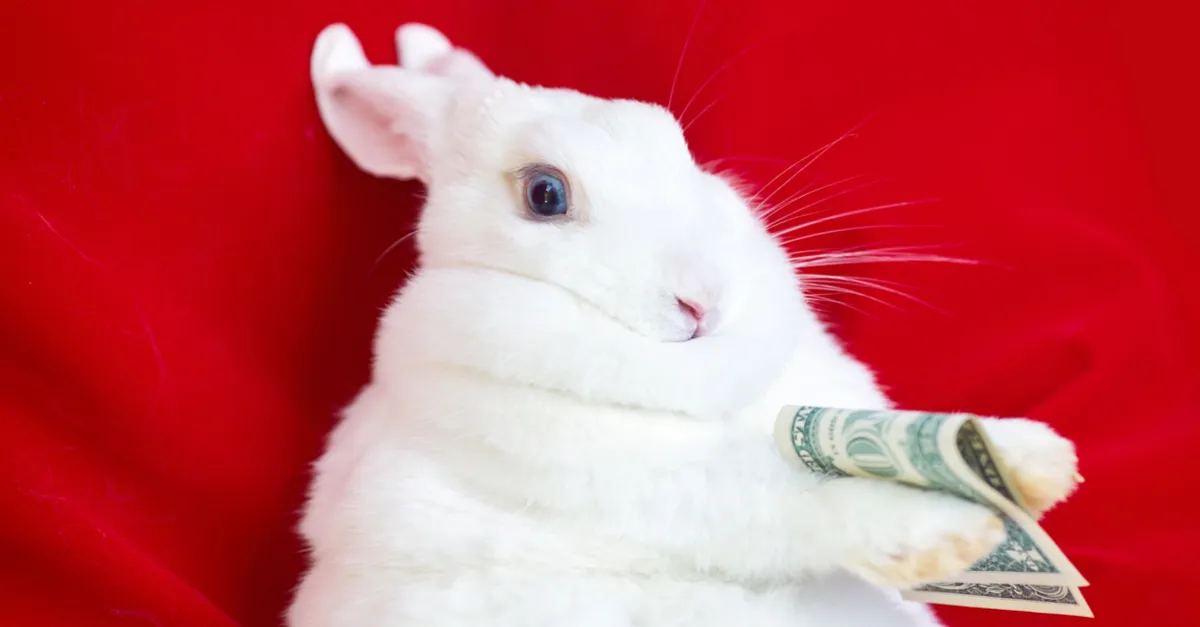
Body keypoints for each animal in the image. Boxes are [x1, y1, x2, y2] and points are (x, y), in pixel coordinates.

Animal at [288, 22, 1081, 627]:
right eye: (546, 194)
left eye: (677, 147)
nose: (703, 299)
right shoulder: (631, 475)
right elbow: (789, 496)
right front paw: (954, 529)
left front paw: (1031, 458)